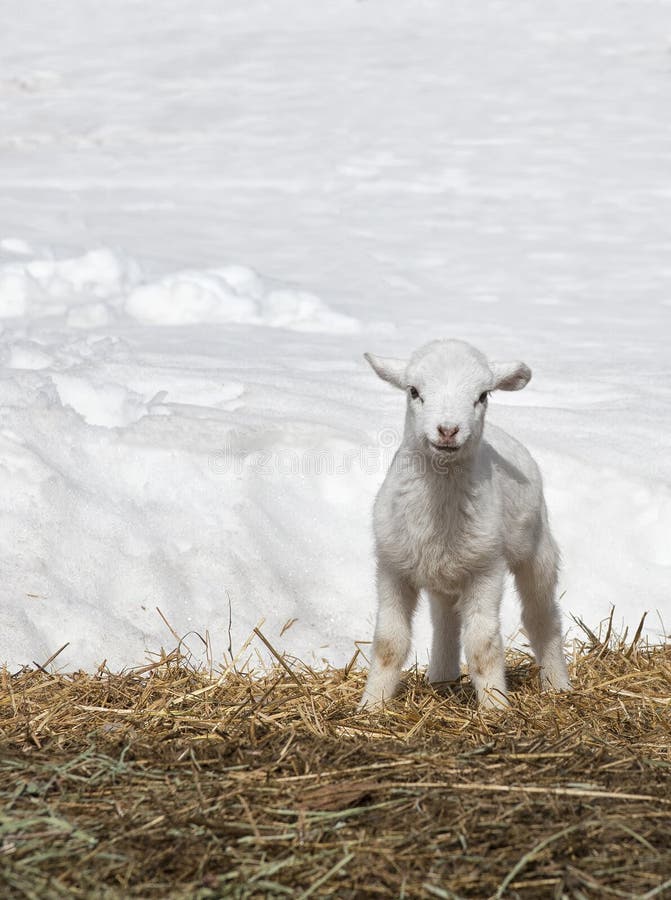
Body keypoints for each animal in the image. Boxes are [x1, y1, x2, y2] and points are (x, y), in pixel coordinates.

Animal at [359, 339, 571, 711]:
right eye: (414, 391)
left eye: (483, 395)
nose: (448, 430)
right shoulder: (392, 565)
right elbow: (388, 643)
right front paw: (371, 706)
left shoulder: (486, 568)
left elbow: (483, 645)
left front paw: (496, 707)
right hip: (443, 574)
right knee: (446, 620)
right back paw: (441, 678)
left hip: (537, 547)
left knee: (541, 615)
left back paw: (557, 685)